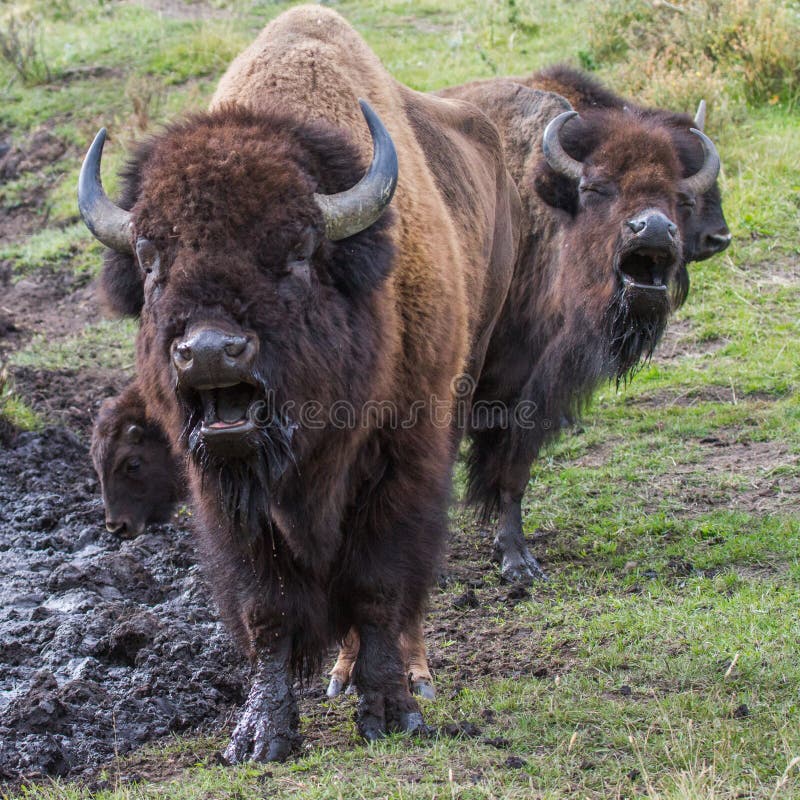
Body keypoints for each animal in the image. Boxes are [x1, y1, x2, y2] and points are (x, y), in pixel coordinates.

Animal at [78, 5, 520, 762]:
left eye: (297, 251)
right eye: (150, 256)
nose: (209, 351)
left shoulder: (401, 463)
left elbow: (378, 587)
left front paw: (392, 711)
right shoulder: (228, 501)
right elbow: (268, 611)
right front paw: (259, 738)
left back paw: (412, 674)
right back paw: (339, 677)